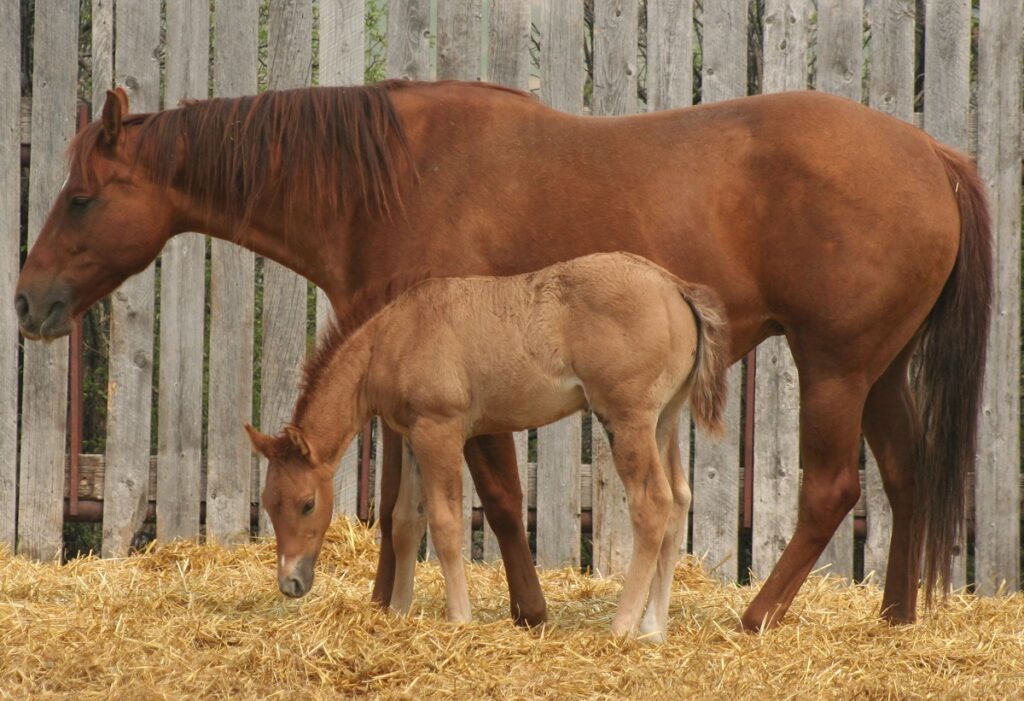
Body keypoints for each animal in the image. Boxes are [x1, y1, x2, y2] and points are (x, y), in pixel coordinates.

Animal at [245, 252, 729, 640]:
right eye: (268, 503)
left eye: (307, 504)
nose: (290, 583)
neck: (392, 336)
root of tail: (676, 287)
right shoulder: (413, 436)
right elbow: (405, 521)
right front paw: (399, 613)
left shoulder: (438, 430)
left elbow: (444, 524)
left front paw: (459, 618)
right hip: (664, 419)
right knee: (679, 499)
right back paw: (654, 629)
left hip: (628, 420)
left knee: (653, 503)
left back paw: (622, 627)